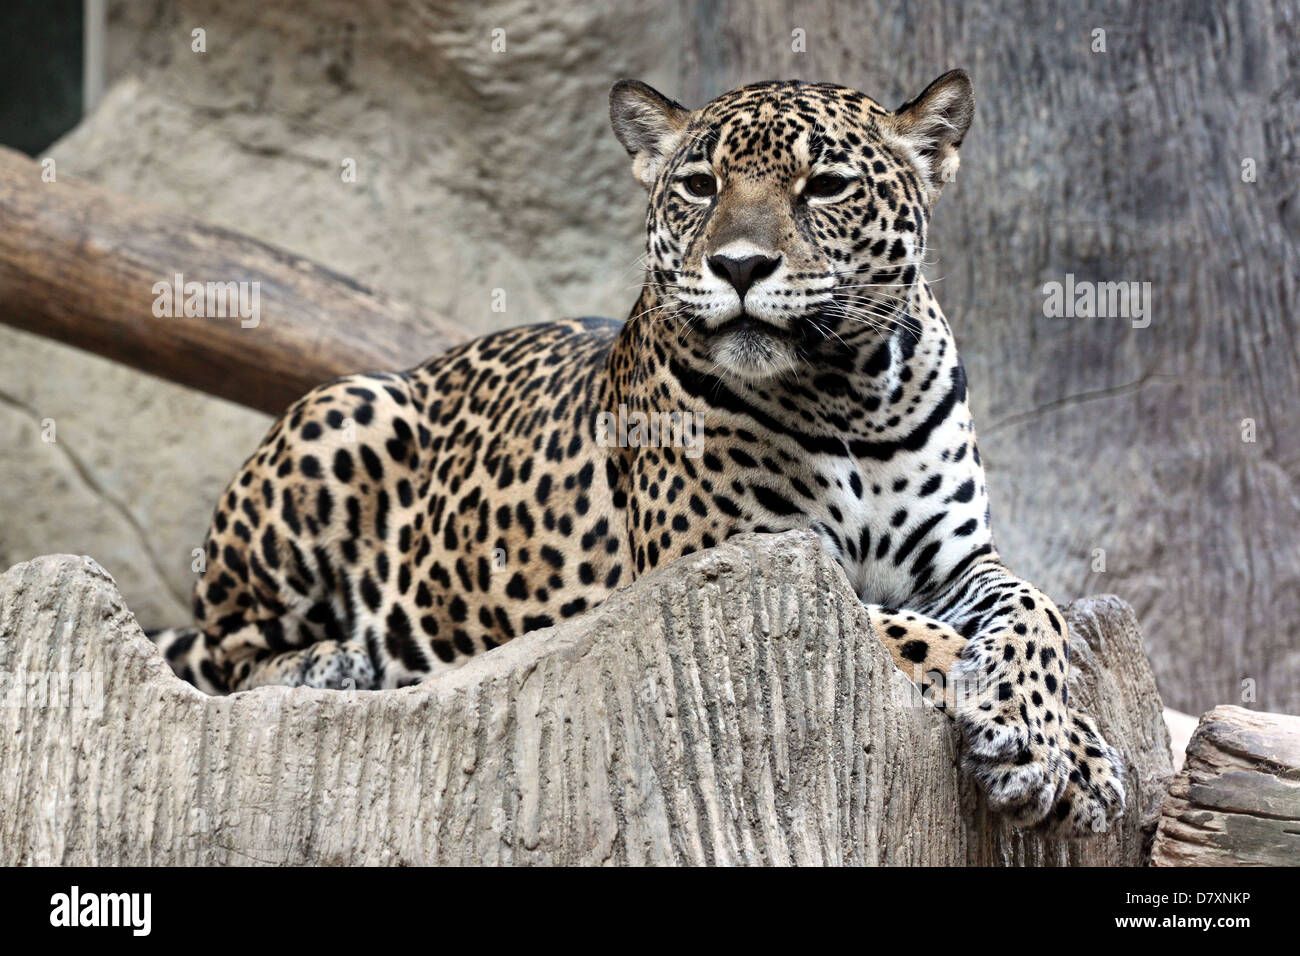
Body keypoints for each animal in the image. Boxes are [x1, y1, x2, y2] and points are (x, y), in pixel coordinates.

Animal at [151, 70, 1127, 836]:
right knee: (231, 654)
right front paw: (1062, 746)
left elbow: (1038, 610)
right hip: (347, 409)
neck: (846, 391)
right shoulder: (726, 566)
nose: (739, 266)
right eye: (699, 184)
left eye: (825, 185)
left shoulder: (959, 561)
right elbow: (909, 634)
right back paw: (336, 661)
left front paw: (1054, 735)